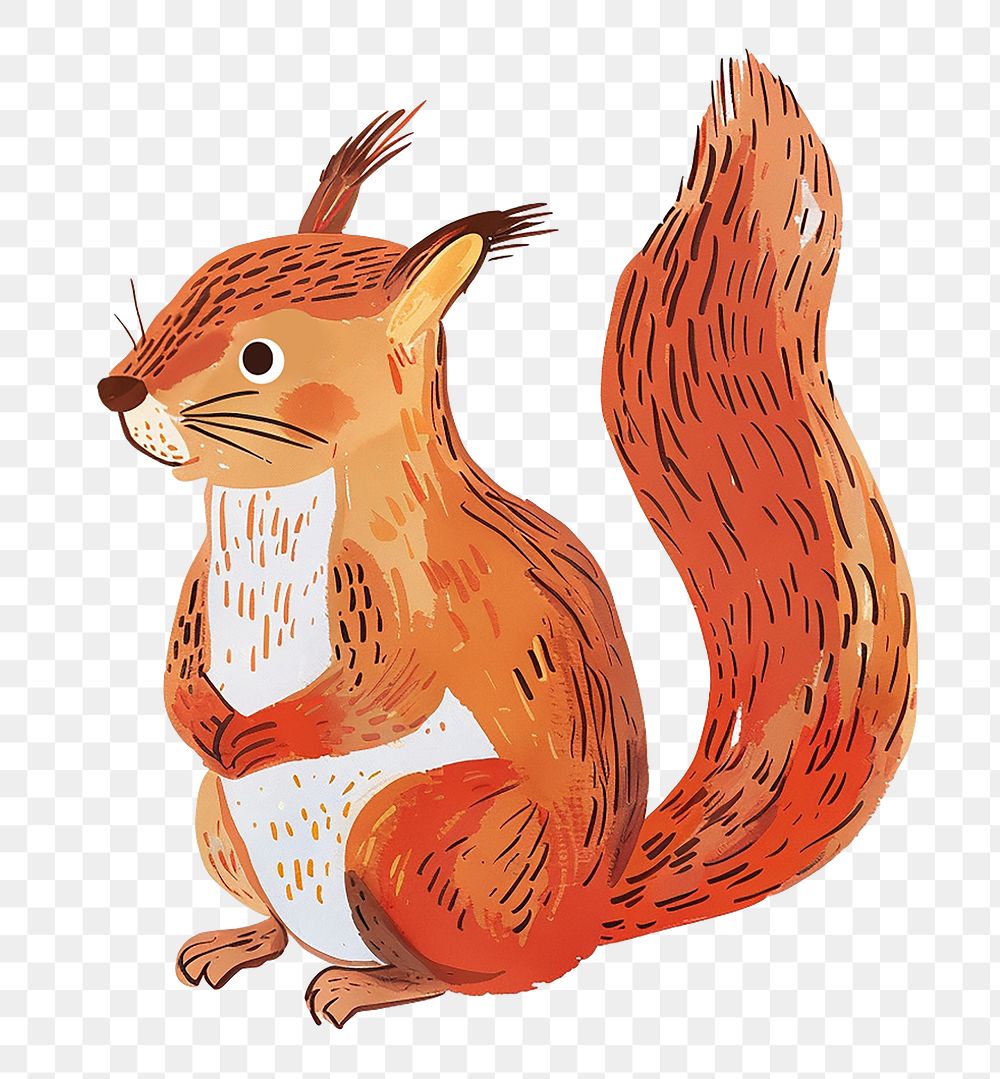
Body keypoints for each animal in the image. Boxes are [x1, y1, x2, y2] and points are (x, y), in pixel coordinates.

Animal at [98, 55, 916, 1027]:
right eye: (184, 289)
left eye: (262, 359)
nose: (116, 391)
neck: (267, 505)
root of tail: (583, 923)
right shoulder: (200, 585)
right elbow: (180, 662)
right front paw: (204, 720)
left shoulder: (412, 582)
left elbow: (383, 686)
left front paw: (259, 738)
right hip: (218, 822)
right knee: (282, 919)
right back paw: (241, 939)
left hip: (421, 845)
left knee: (458, 973)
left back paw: (362, 982)